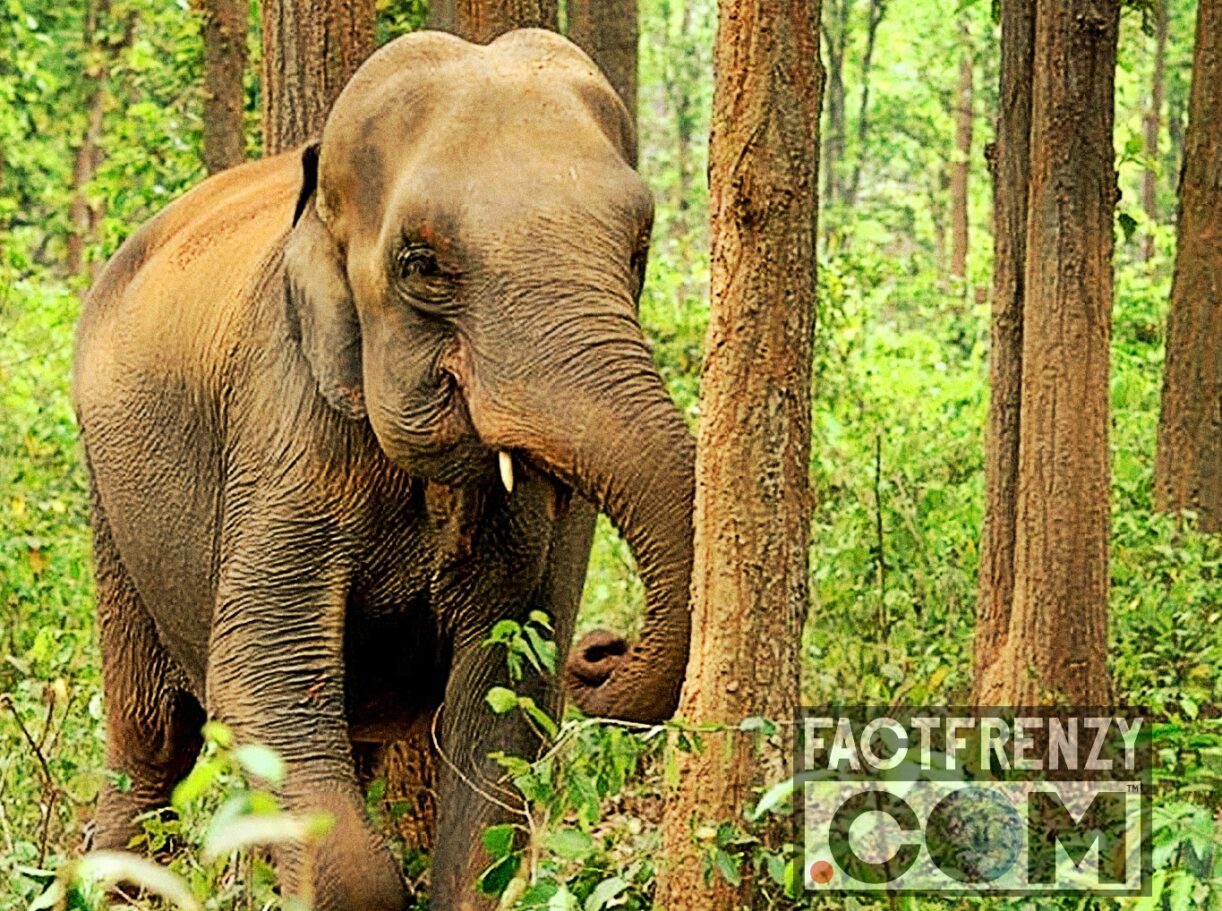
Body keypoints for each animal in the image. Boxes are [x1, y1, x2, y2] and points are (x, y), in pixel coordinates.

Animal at [72, 28, 694, 911]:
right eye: (422, 263)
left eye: (638, 249)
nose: (601, 649)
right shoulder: (285, 420)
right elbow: (259, 670)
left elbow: (502, 701)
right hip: (110, 500)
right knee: (152, 740)